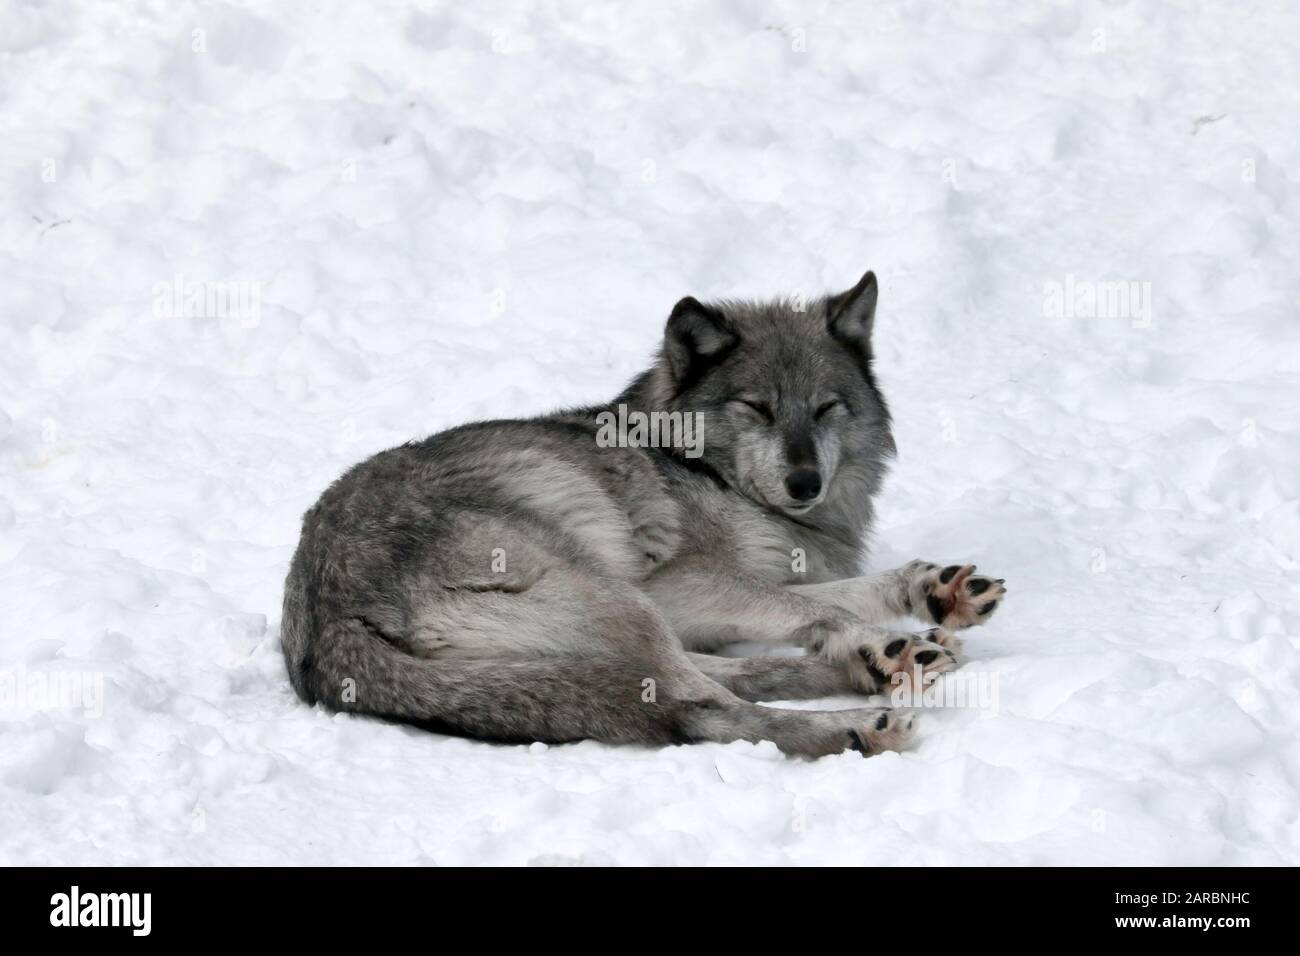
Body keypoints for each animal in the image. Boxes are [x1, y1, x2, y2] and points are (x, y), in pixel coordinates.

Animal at [280, 271, 1007, 757]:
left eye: (827, 407)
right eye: (758, 408)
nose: (806, 482)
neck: (705, 470)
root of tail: (320, 623)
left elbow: (845, 590)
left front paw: (933, 589)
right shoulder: (682, 583)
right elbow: (818, 608)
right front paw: (877, 636)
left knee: (716, 678)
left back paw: (895, 663)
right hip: (620, 597)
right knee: (697, 705)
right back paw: (862, 712)